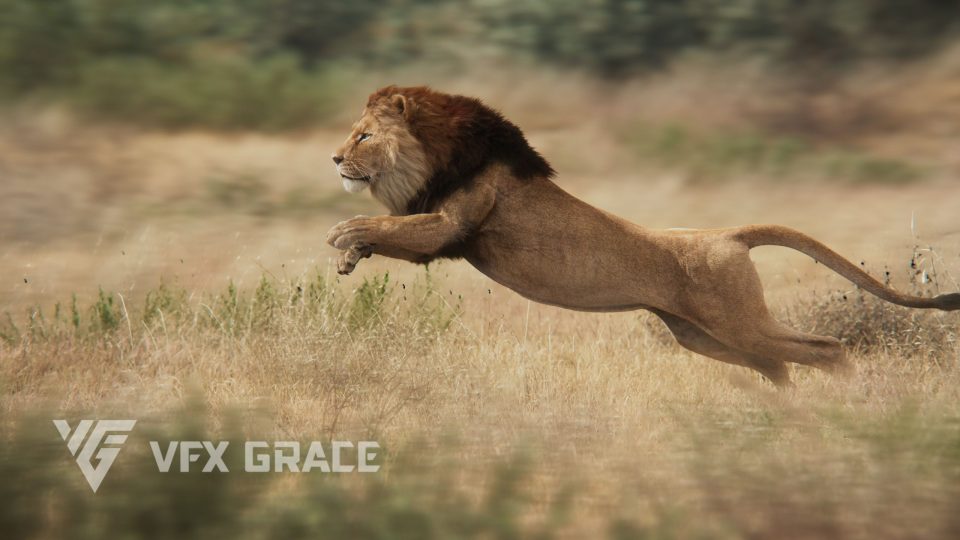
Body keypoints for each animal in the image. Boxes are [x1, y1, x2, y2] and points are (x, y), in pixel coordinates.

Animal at [326, 85, 960, 386]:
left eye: (362, 137)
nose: (333, 159)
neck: (432, 157)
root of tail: (729, 234)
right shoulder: (441, 234)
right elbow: (389, 233)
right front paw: (351, 257)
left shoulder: (453, 225)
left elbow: (384, 223)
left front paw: (342, 234)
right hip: (704, 336)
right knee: (779, 366)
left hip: (737, 322)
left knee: (829, 348)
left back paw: (850, 402)